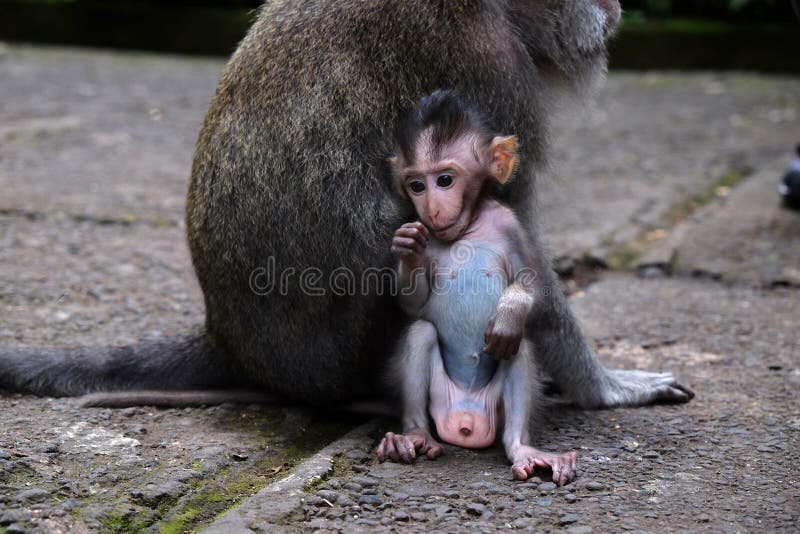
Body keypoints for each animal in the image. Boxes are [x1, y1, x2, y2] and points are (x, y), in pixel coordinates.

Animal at [376, 91, 577, 484]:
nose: (432, 209)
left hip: (493, 405)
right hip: (439, 399)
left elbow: (538, 294)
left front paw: (512, 308)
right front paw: (409, 251)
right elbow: (413, 308)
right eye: (416, 185)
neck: (468, 230)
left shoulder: (511, 225)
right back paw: (414, 436)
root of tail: (465, 420)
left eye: (445, 180)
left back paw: (523, 449)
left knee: (515, 345)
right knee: (421, 331)